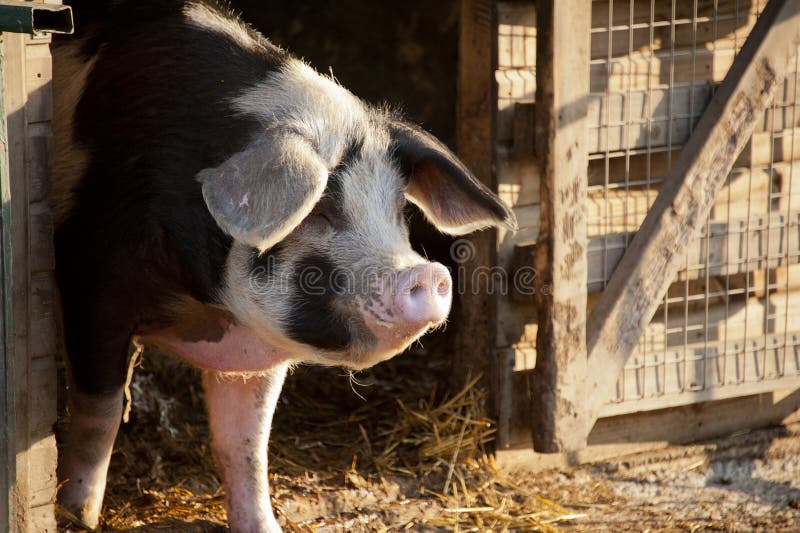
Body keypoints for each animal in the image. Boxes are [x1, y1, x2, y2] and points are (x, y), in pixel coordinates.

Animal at [52, 1, 516, 531]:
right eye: (318, 212)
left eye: (400, 211)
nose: (427, 272)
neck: (205, 309)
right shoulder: (89, 280)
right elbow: (100, 411)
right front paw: (76, 515)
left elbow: (247, 444)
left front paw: (265, 525)